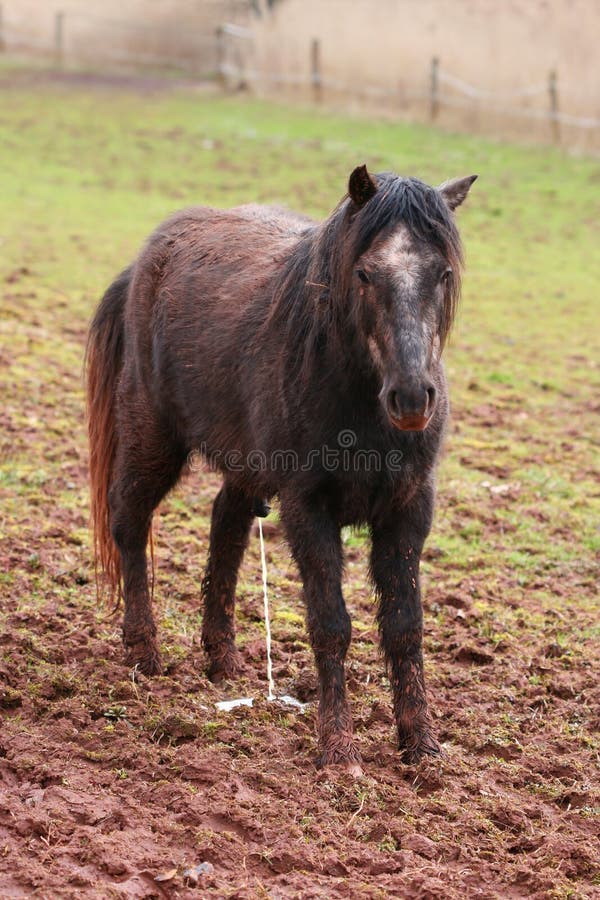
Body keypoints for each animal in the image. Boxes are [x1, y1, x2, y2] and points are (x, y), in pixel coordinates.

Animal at [86, 164, 476, 770]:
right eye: (365, 272)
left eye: (443, 272)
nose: (413, 398)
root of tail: (148, 262)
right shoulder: (307, 508)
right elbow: (332, 625)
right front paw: (338, 750)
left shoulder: (408, 511)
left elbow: (405, 628)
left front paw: (422, 746)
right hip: (152, 435)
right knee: (129, 521)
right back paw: (144, 651)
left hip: (243, 467)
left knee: (226, 526)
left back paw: (222, 660)